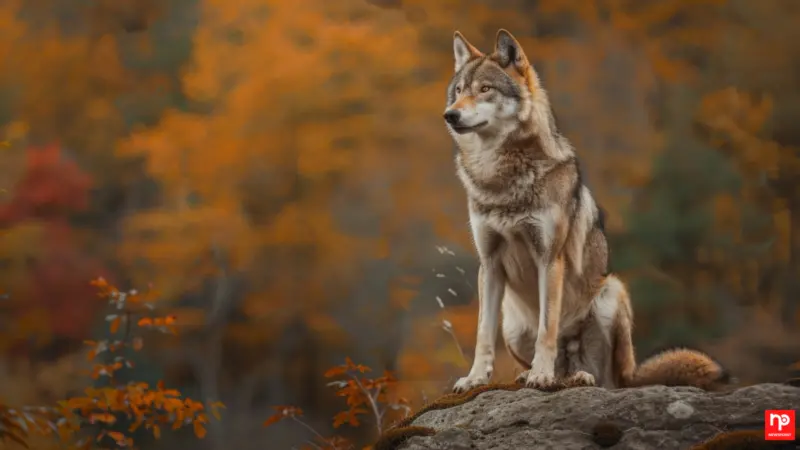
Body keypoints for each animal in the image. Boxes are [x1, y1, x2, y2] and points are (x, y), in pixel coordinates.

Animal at [443, 28, 614, 392]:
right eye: (459, 91)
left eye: (485, 89)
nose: (450, 114)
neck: (501, 178)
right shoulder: (489, 263)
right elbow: (482, 333)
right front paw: (474, 378)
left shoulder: (549, 259)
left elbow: (547, 328)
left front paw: (541, 374)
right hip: (512, 323)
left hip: (611, 294)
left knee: (607, 376)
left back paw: (576, 376)